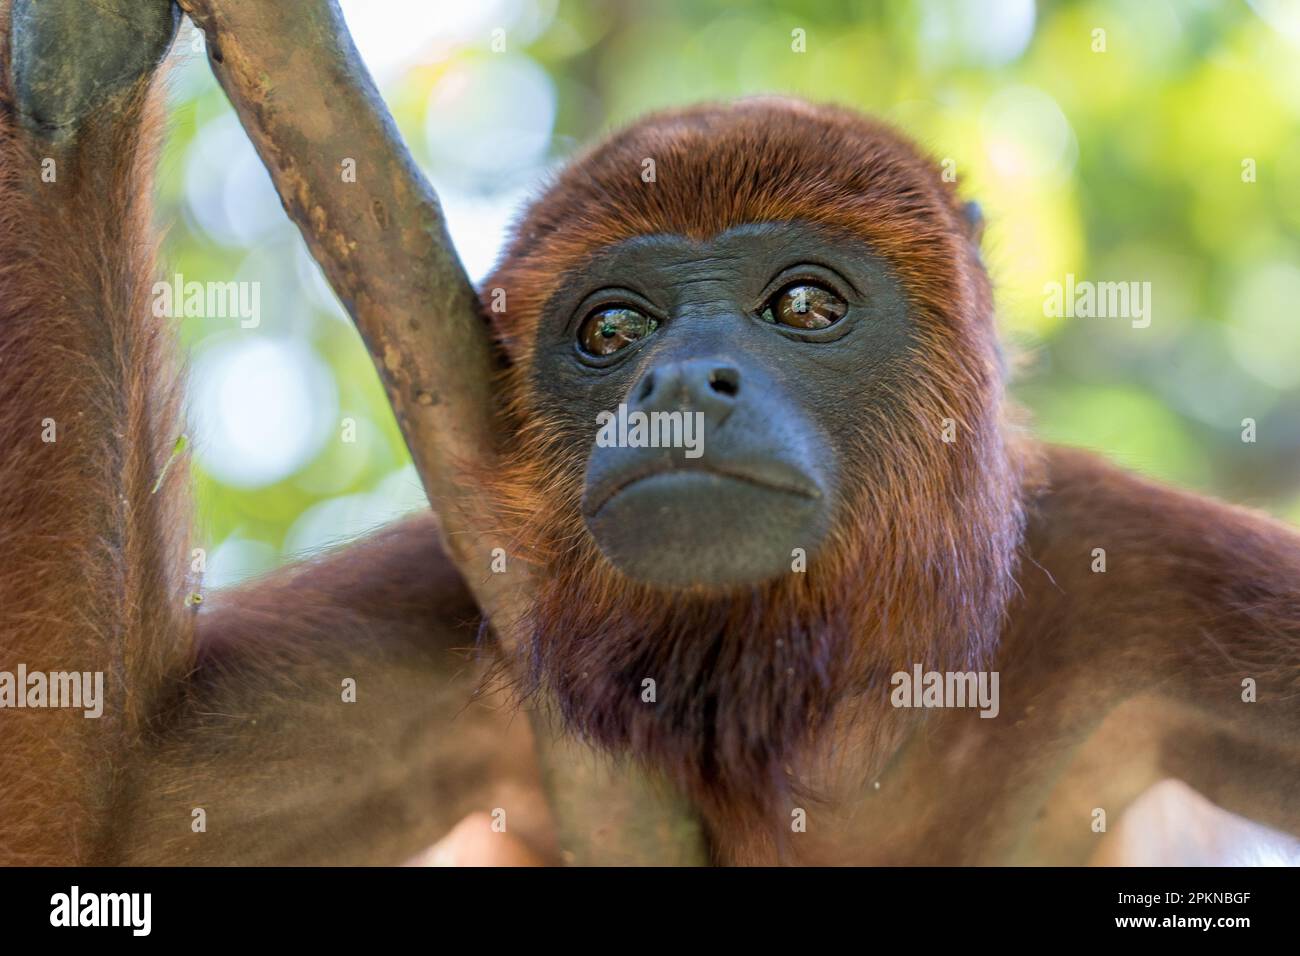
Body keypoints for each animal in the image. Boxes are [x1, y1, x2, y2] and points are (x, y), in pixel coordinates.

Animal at [1, 0, 1297, 866]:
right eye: (615, 328)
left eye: (805, 305)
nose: (677, 377)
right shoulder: (460, 599)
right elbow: (113, 812)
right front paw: (76, 62)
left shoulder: (1136, 577)